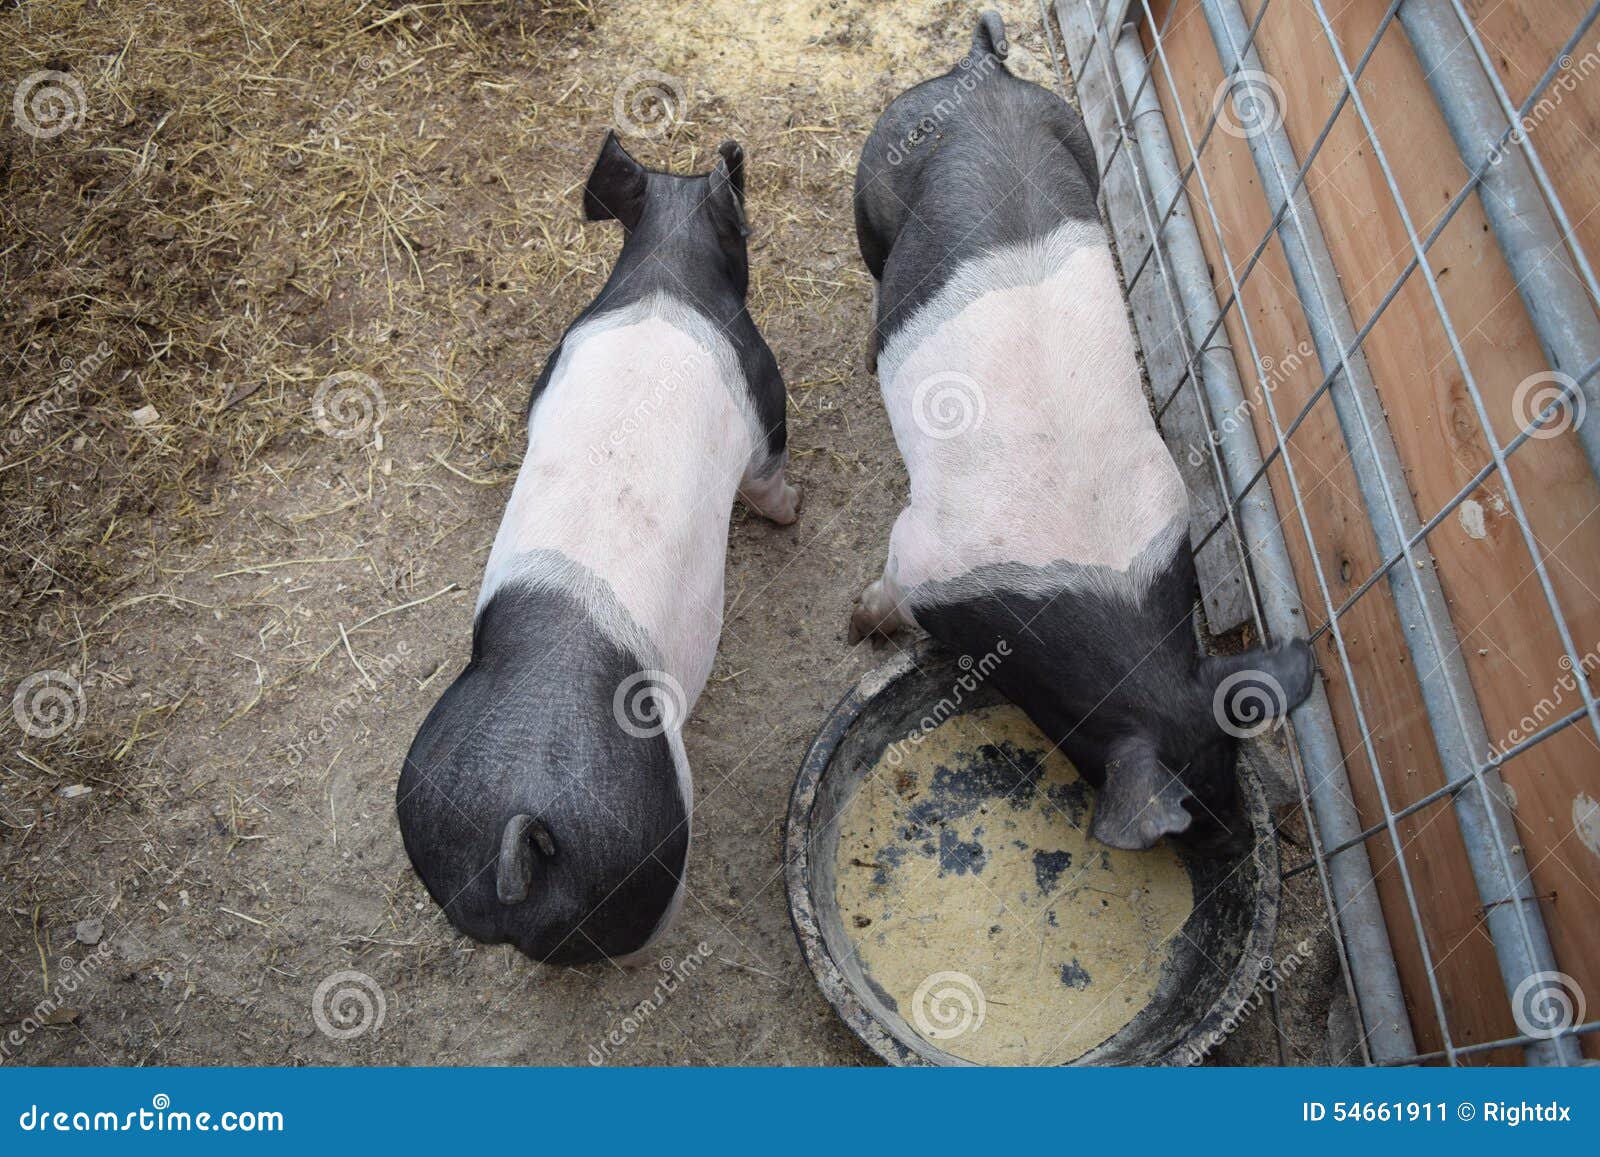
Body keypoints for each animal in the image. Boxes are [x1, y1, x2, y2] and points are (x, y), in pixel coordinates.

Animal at [398, 132, 799, 965]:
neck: (666, 272)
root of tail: (518, 821)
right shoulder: (766, 403)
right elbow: (771, 481)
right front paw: (796, 515)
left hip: (432, 816)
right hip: (650, 837)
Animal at [849, 12, 1314, 850]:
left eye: (1230, 765)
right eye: (1102, 759)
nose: (1234, 839)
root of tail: (985, 71)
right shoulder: (921, 549)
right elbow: (889, 587)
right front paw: (855, 627)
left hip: (1080, 142)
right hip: (881, 164)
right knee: (874, 263)